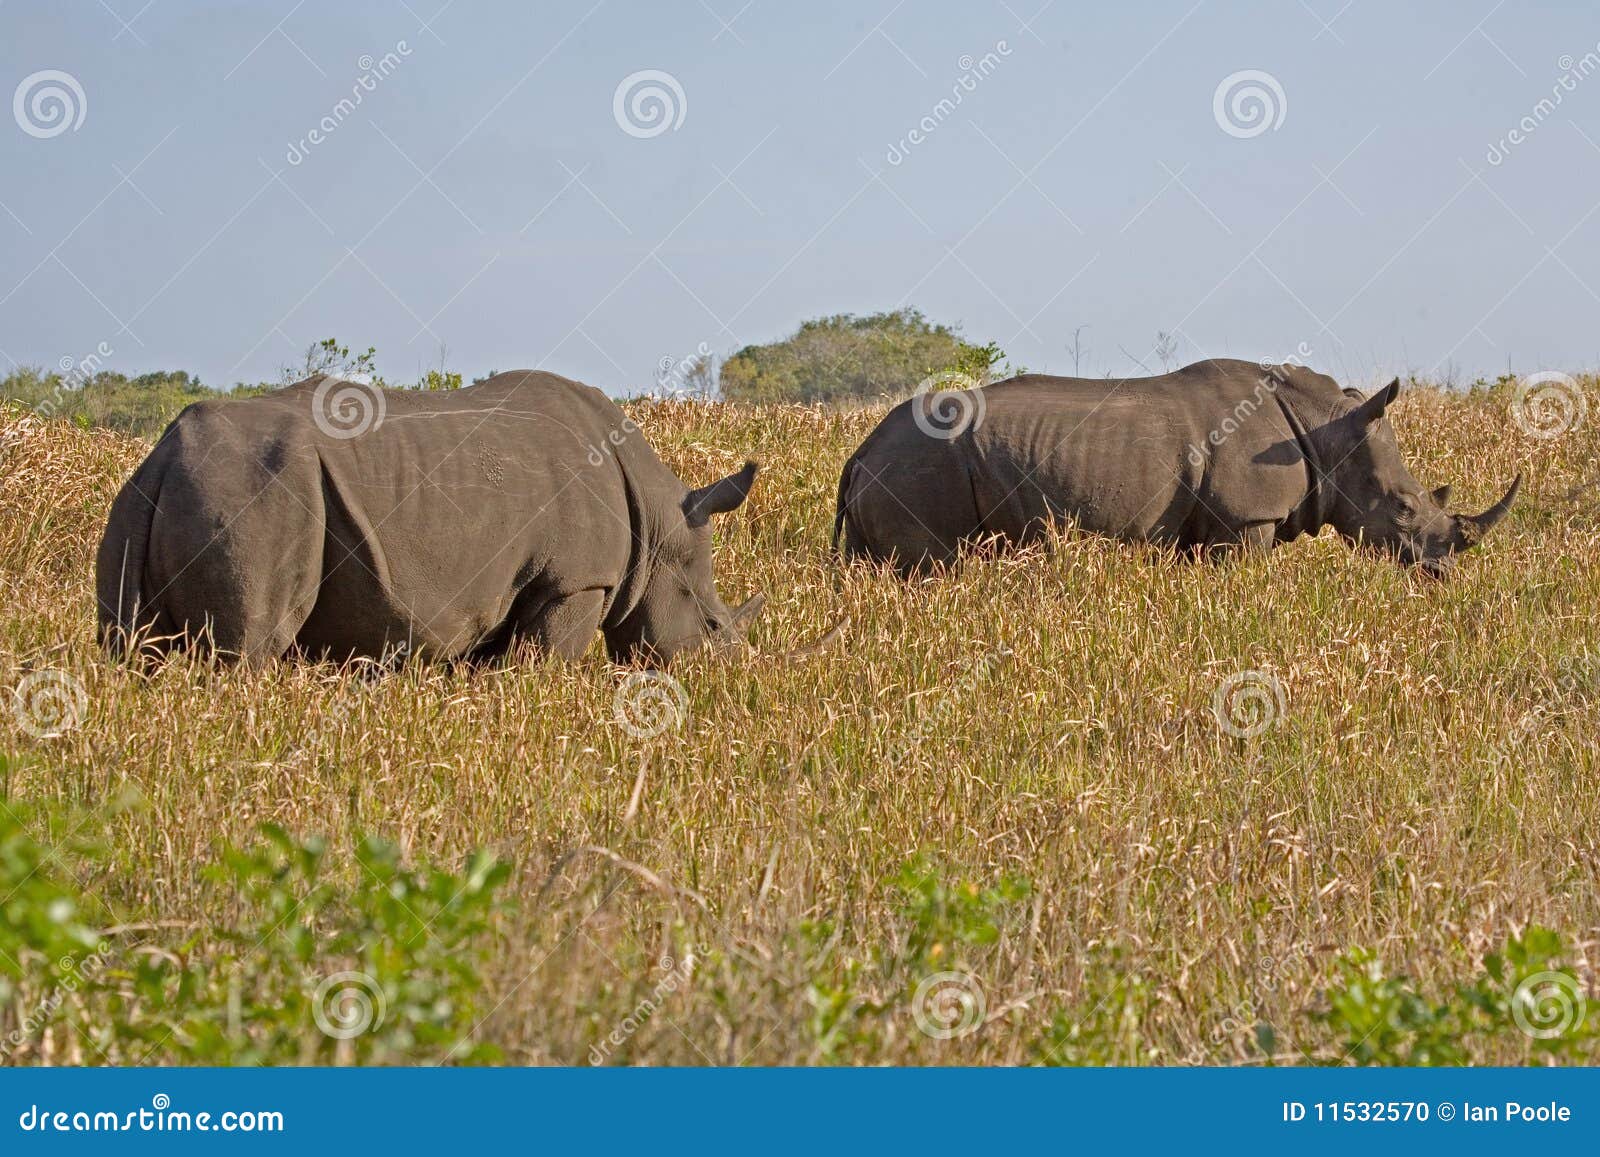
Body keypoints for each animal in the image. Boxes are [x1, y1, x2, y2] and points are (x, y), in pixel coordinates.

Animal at [96, 370, 766, 665]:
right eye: (711, 626)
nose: (723, 678)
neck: (657, 518)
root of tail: (168, 449)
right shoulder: (577, 581)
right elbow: (545, 664)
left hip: (147, 497)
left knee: (133, 650)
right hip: (259, 494)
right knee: (245, 653)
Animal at [834, 359, 1519, 577]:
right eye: (1402, 508)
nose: (1441, 572)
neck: (1326, 428)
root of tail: (861, 452)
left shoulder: (1205, 524)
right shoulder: (1246, 519)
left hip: (897, 467)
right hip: (919, 468)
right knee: (930, 566)